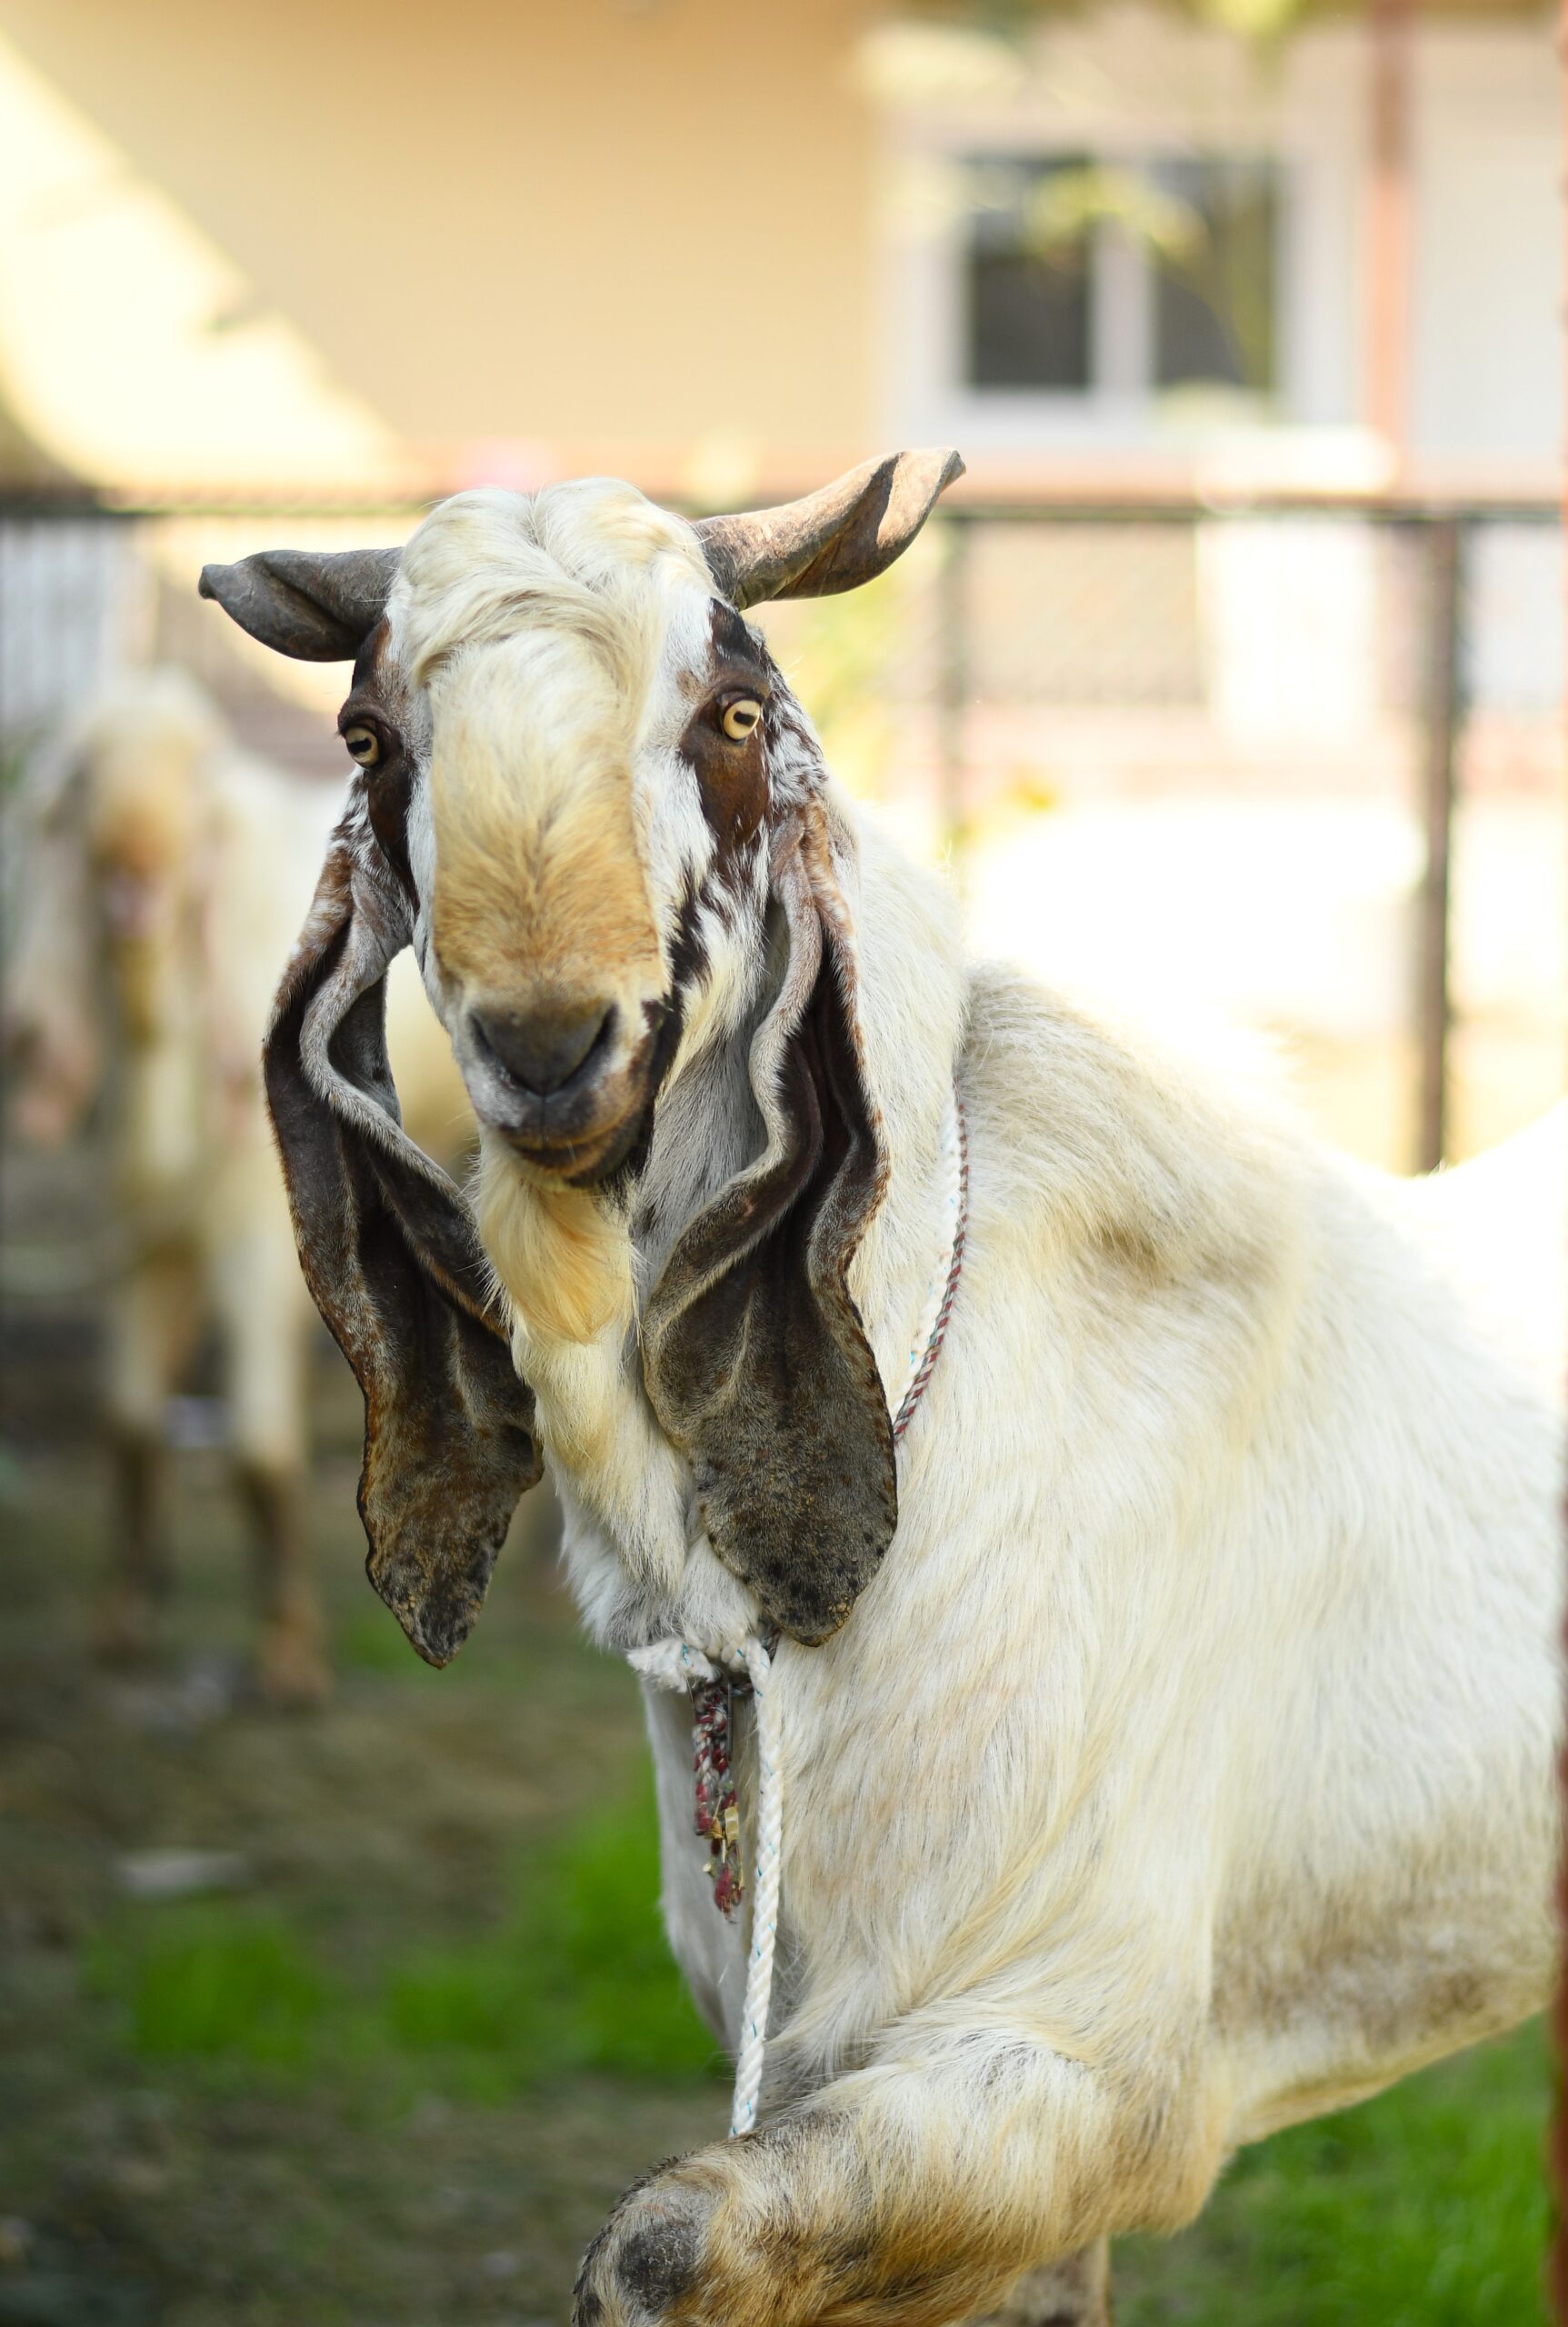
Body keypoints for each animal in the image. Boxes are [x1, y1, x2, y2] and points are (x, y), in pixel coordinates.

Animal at [3, 669, 469, 1707]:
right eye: (83, 783)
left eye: (194, 794)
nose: (134, 871)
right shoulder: (139, 1218)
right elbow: (129, 1423)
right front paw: (122, 1622)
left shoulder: (264, 1232)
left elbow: (259, 1450)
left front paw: (289, 1660)